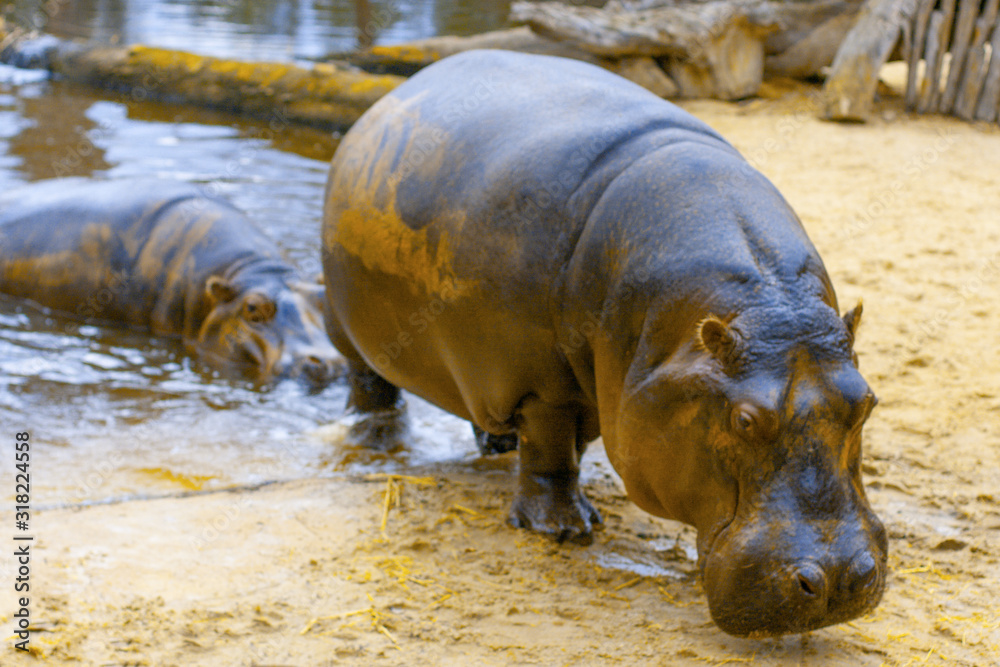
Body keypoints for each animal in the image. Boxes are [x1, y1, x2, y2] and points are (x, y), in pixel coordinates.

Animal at [320, 50, 887, 637]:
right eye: (745, 420)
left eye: (867, 402)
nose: (839, 580)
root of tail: (387, 100)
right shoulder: (540, 385)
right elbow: (550, 450)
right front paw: (562, 531)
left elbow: (564, 443)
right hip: (348, 330)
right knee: (370, 383)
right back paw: (377, 437)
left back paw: (494, 445)